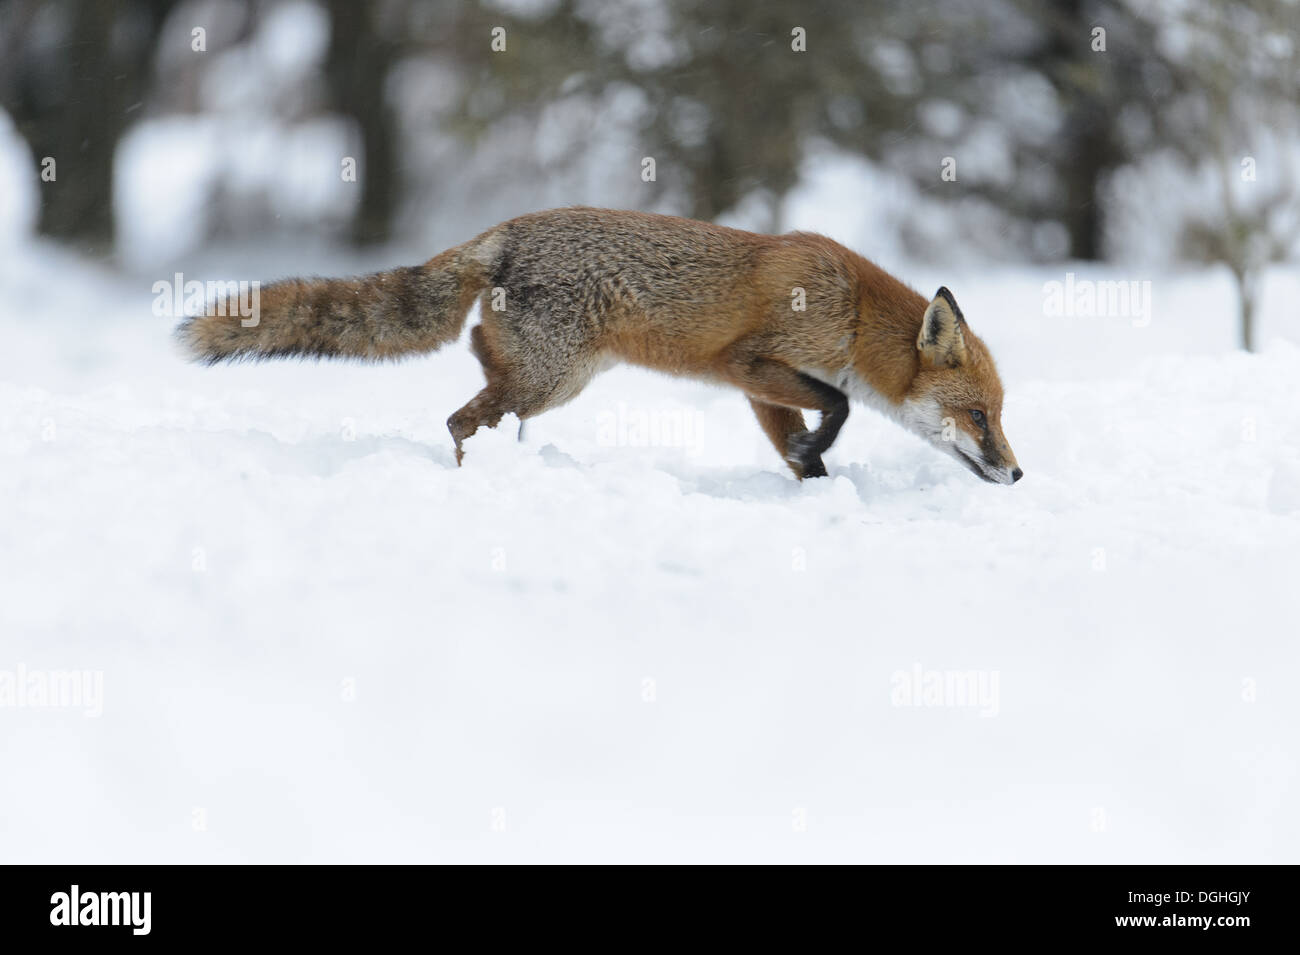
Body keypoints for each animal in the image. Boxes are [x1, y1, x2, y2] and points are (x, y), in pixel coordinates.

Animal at [177, 207, 1022, 484]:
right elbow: (838, 406)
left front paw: (816, 485)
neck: (851, 314)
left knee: (479, 359)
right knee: (459, 416)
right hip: (554, 378)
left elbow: (798, 445)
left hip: (557, 378)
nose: (1016, 472)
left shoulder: (756, 386)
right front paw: (821, 452)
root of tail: (509, 227)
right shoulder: (750, 361)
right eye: (980, 416)